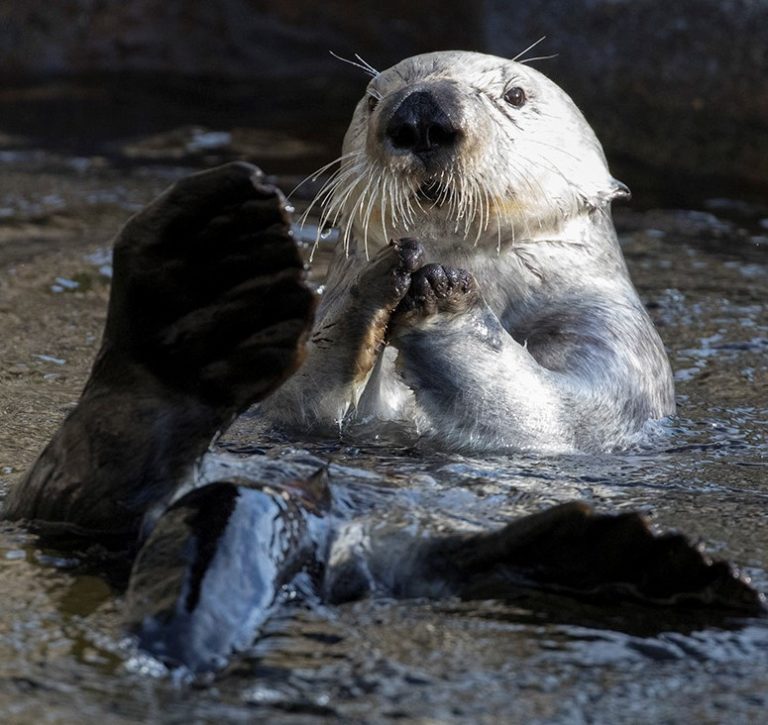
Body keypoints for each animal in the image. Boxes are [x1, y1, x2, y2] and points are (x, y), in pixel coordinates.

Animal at [262, 51, 675, 453]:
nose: (421, 114)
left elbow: (562, 412)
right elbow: (288, 399)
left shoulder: (617, 336)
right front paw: (376, 283)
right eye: (372, 100)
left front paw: (440, 293)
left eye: (515, 95)